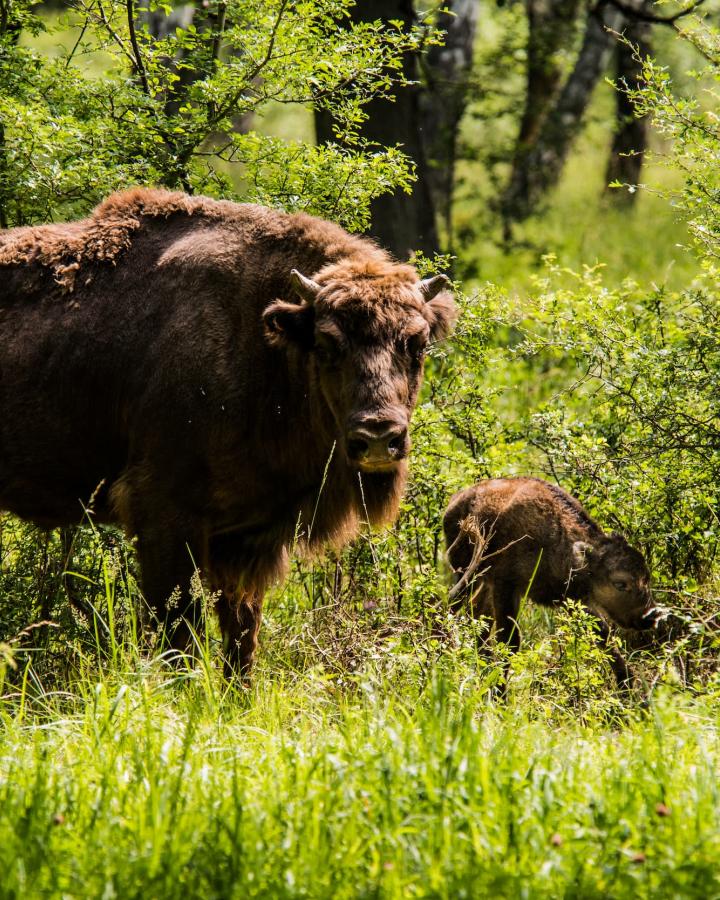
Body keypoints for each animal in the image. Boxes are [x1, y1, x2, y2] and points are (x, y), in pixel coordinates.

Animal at [0, 188, 456, 676]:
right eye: (327, 343)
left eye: (417, 343)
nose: (377, 438)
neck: (262, 346)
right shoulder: (165, 520)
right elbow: (178, 630)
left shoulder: (245, 542)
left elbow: (241, 636)